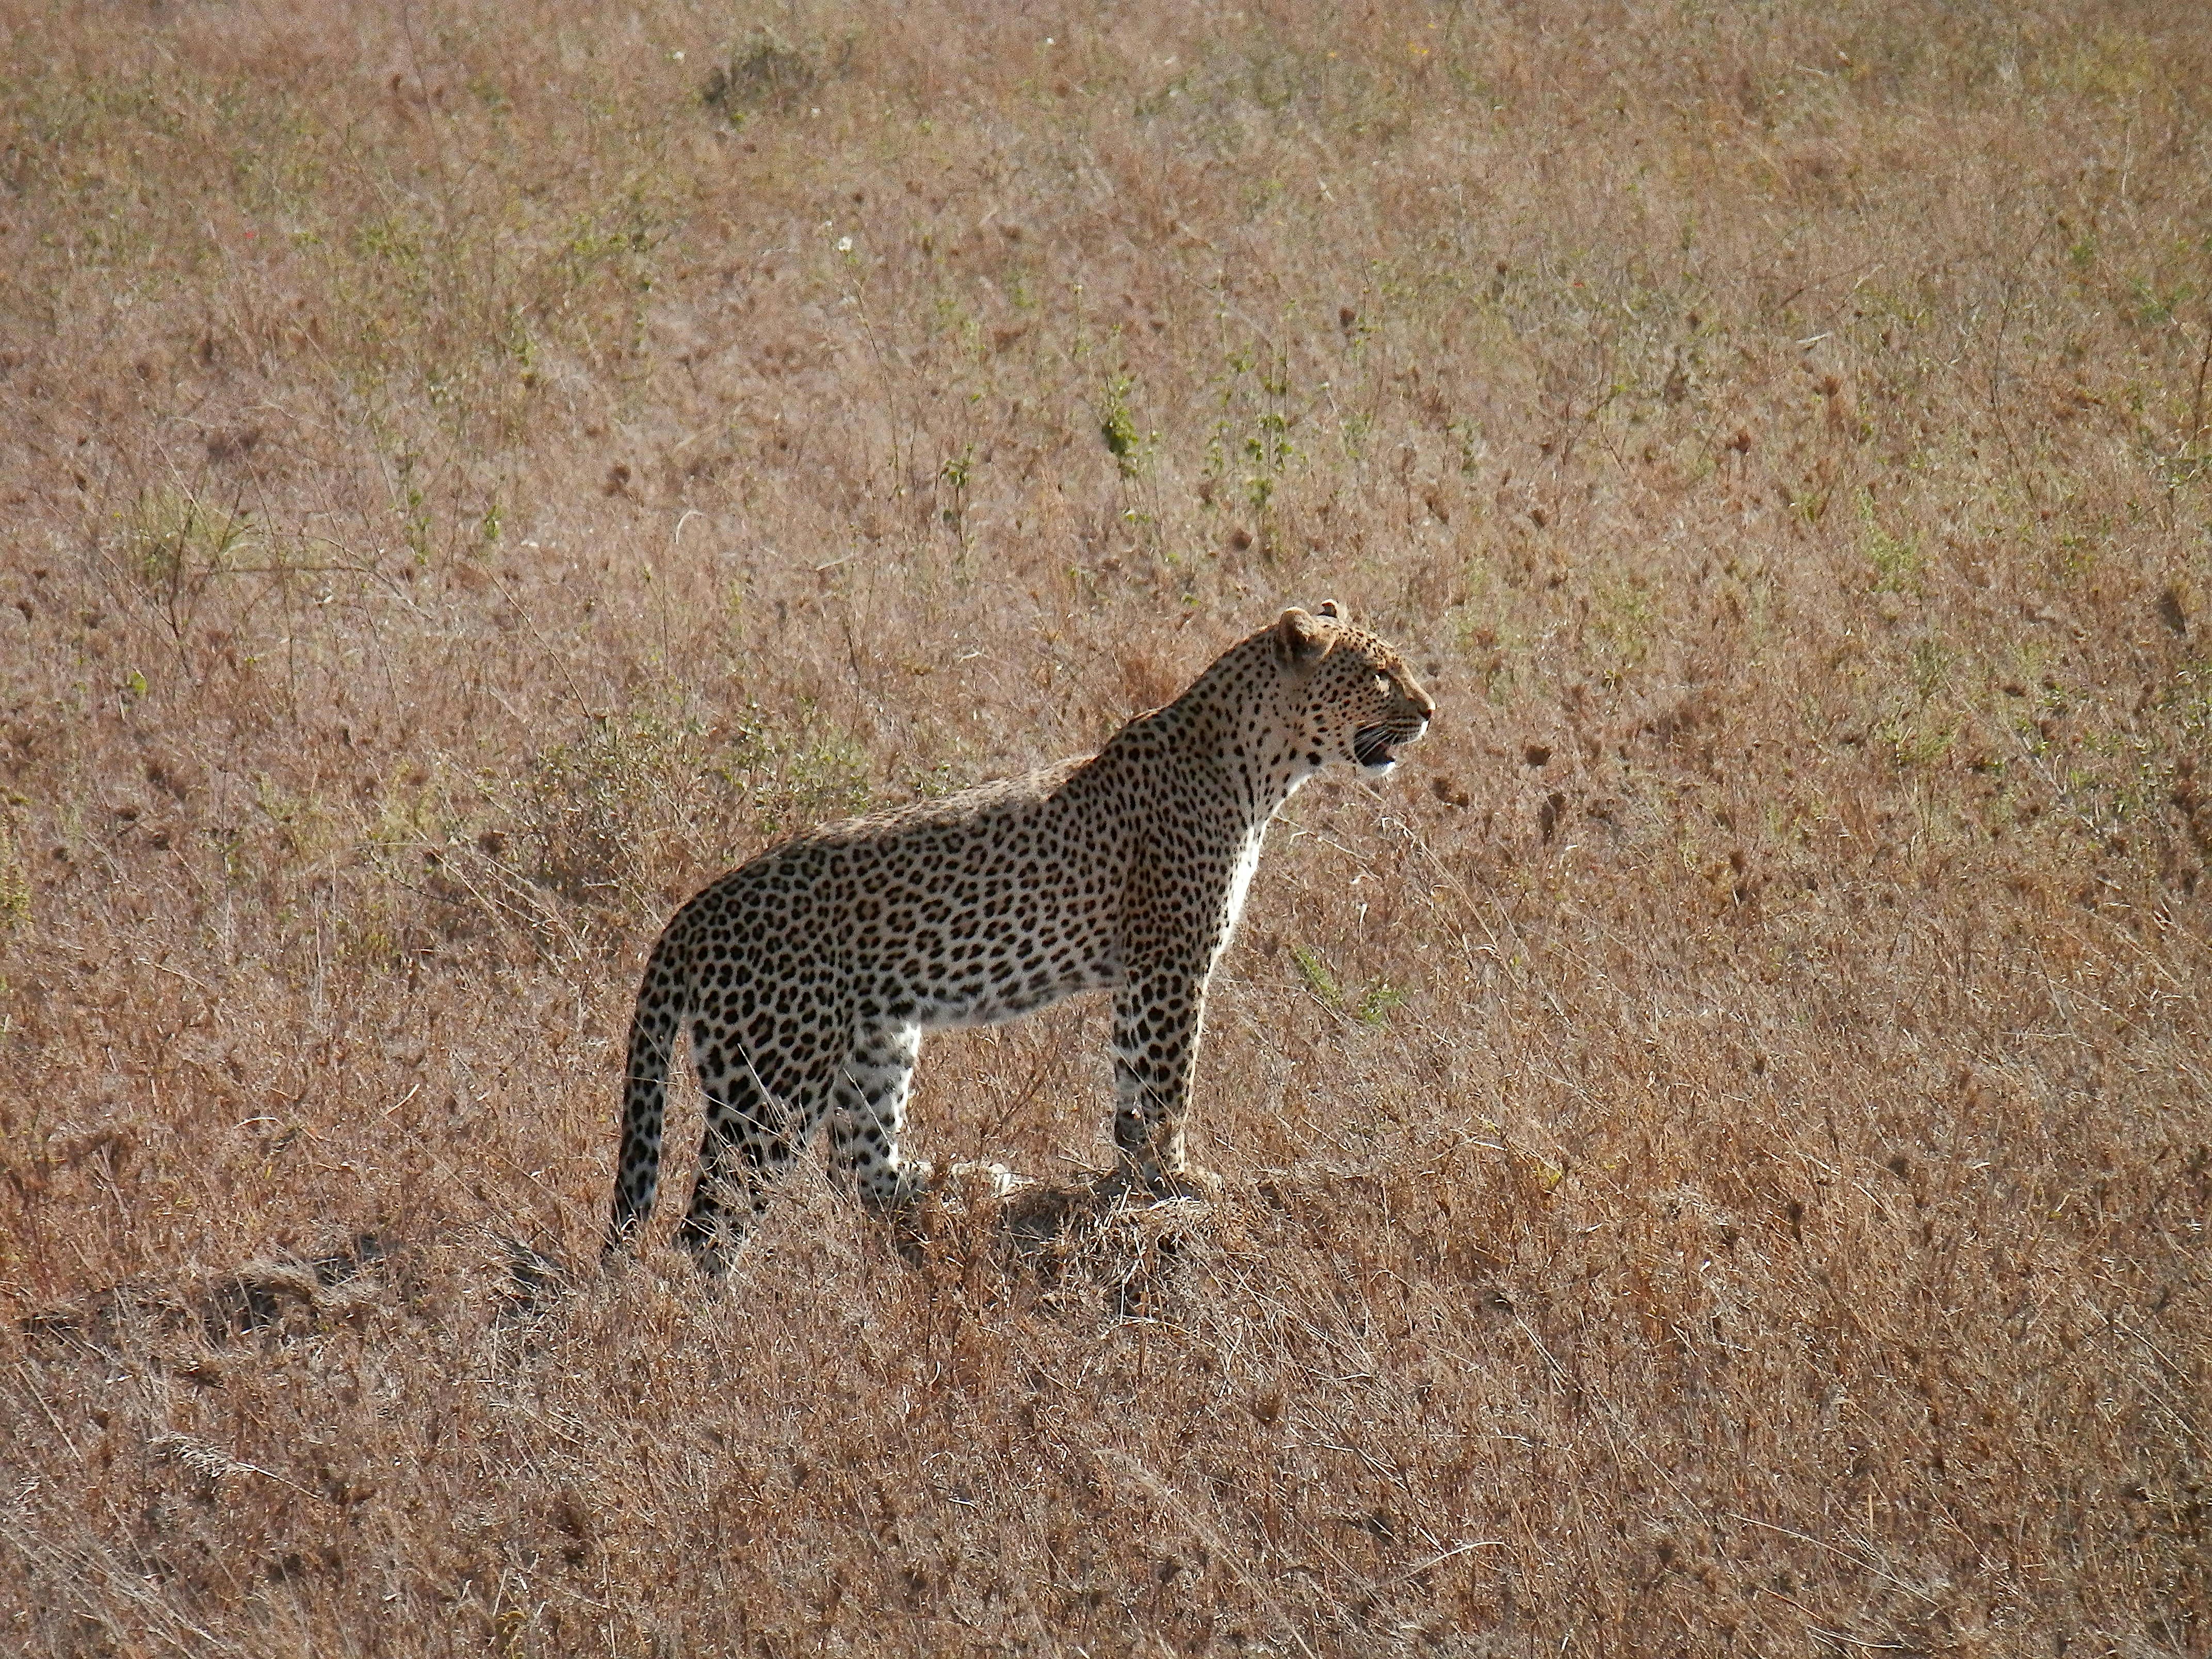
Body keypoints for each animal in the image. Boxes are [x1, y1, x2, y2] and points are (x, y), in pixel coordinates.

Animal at [604, 602, 1435, 1272]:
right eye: (1379, 676)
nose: (1430, 710)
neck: (1260, 769)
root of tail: (693, 911)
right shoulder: (1170, 962)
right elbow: (1169, 1082)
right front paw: (1180, 1178)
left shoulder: (1141, 975)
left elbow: (1132, 1088)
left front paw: (1137, 1178)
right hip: (771, 1078)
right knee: (710, 1224)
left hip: (877, 1038)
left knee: (857, 1168)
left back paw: (957, 1184)